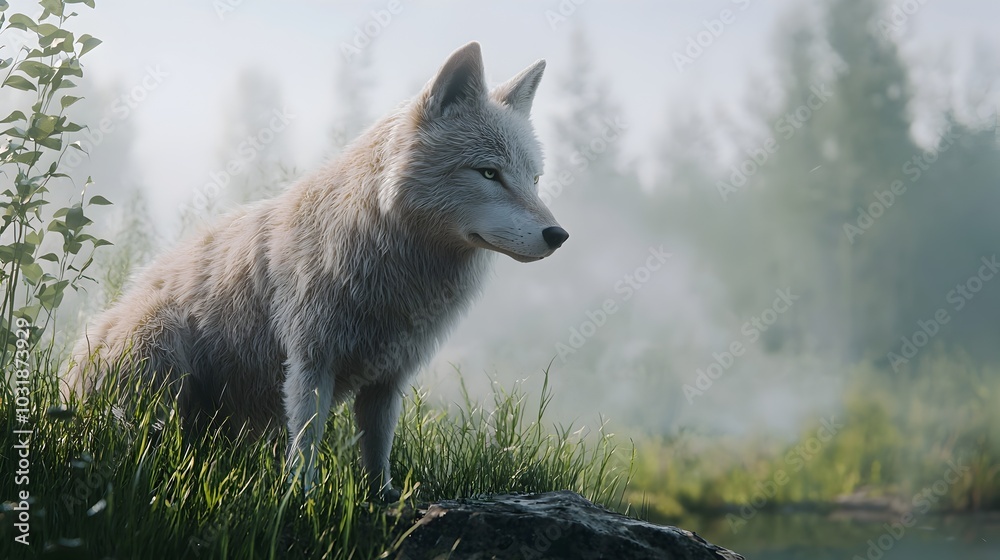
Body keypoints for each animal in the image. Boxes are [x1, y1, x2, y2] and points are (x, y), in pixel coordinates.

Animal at [65, 42, 568, 500]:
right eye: (489, 174)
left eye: (534, 180)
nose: (559, 235)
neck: (393, 264)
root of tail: (67, 382)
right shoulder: (310, 363)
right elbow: (306, 442)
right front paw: (300, 499)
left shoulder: (387, 380)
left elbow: (377, 451)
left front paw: (383, 500)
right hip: (161, 344)